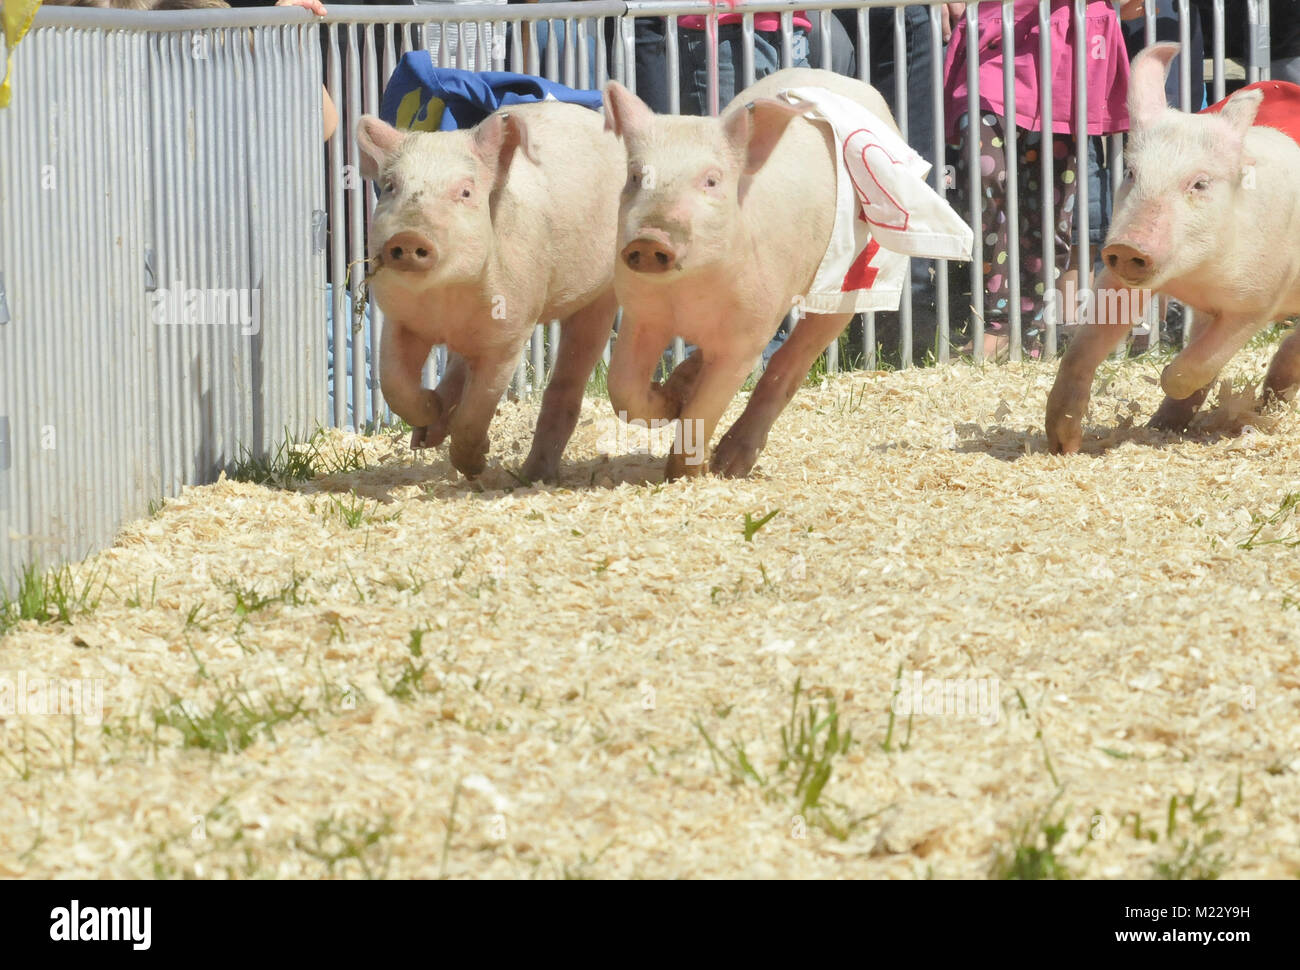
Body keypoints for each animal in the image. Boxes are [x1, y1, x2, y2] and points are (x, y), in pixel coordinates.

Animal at [356, 102, 624, 481]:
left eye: (466, 192)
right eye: (391, 186)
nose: (408, 237)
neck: (446, 300)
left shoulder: (510, 332)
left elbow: (478, 407)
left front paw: (475, 465)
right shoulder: (399, 318)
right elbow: (394, 384)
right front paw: (429, 412)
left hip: (602, 293)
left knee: (568, 377)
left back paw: (533, 476)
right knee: (457, 365)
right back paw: (427, 434)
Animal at [600, 68, 899, 480]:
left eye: (711, 181)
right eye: (634, 176)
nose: (649, 237)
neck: (687, 296)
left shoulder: (747, 332)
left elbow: (706, 407)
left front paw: (689, 475)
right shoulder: (641, 313)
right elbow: (622, 388)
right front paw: (671, 402)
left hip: (847, 287)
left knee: (792, 361)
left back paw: (732, 465)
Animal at [1046, 43, 1300, 454]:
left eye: (1199, 183)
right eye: (1131, 172)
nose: (1127, 244)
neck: (1196, 276)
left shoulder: (1259, 297)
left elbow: (1198, 364)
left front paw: (1166, 376)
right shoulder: (1117, 279)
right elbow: (1083, 349)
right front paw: (1063, 443)